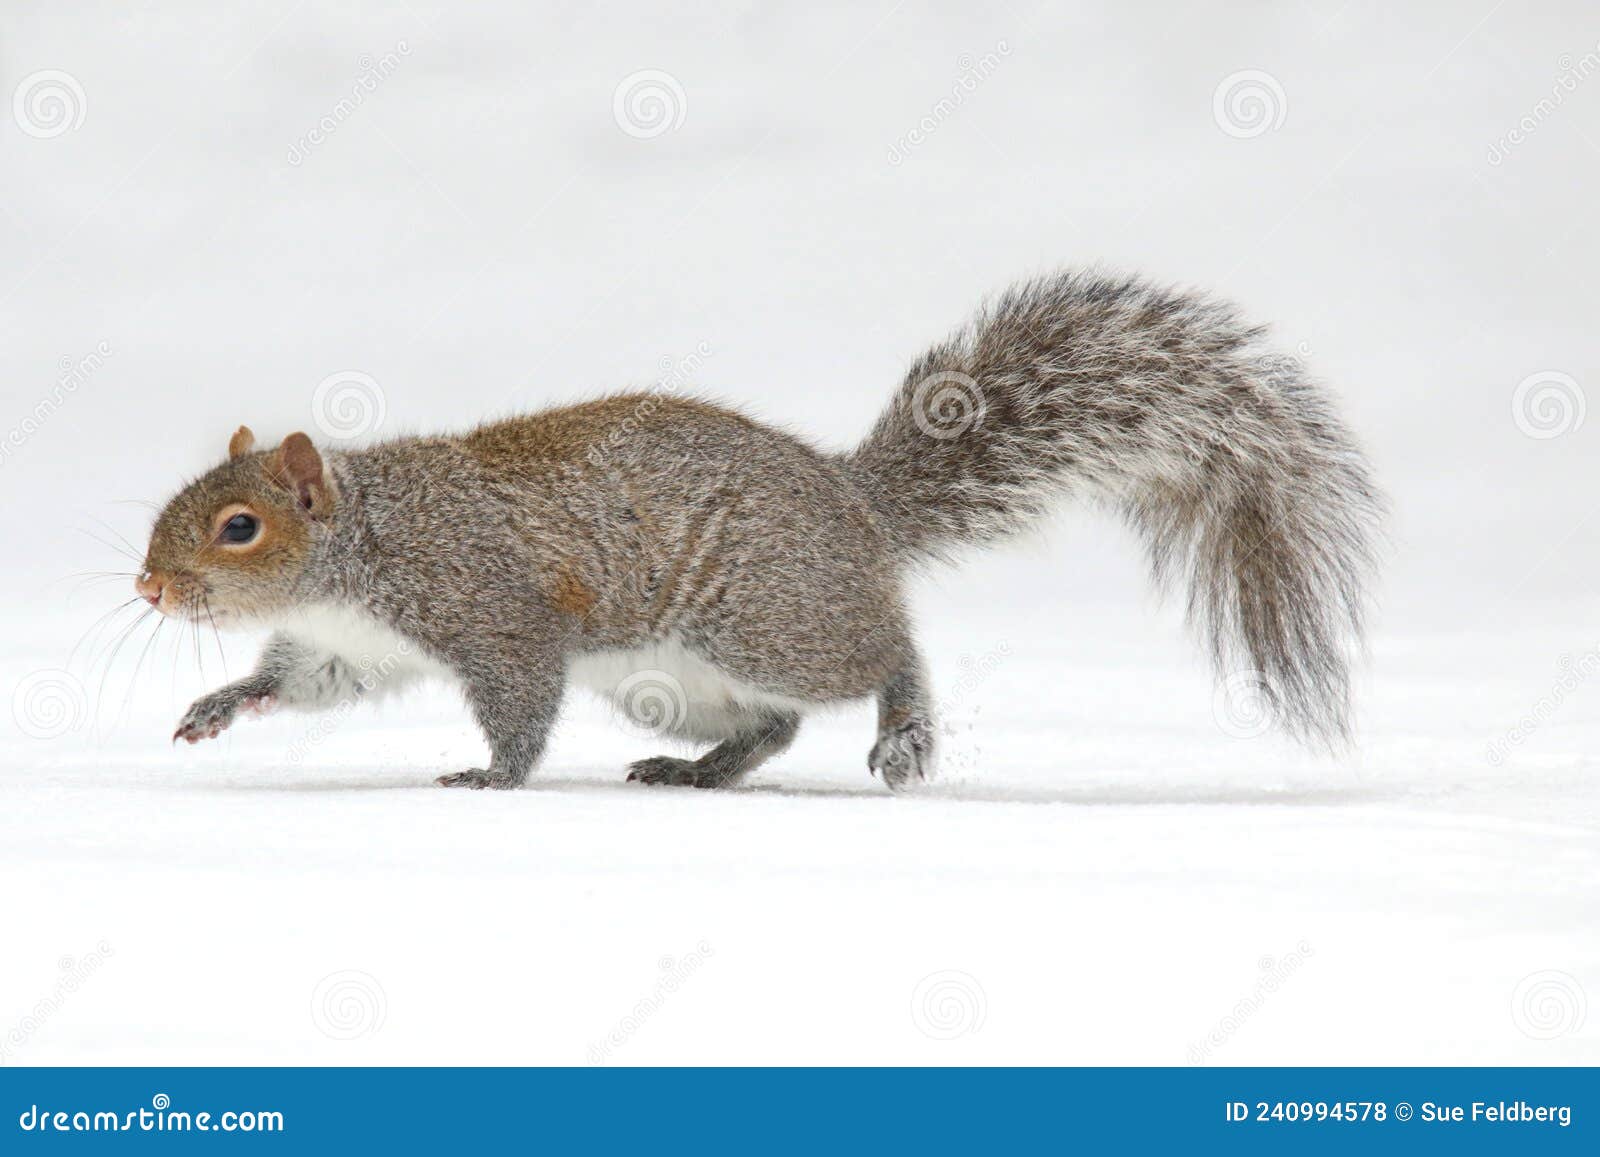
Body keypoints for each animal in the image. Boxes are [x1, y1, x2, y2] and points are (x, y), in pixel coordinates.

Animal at [135, 269, 1383, 791]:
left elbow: (520, 702)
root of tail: (852, 504)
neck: (365, 547)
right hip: (683, 680)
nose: (151, 589)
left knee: (884, 651)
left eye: (239, 524)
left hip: (768, 621)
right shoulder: (348, 646)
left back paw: (903, 727)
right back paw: (698, 770)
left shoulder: (491, 609)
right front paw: (218, 703)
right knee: (774, 726)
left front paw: (491, 775)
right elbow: (299, 682)